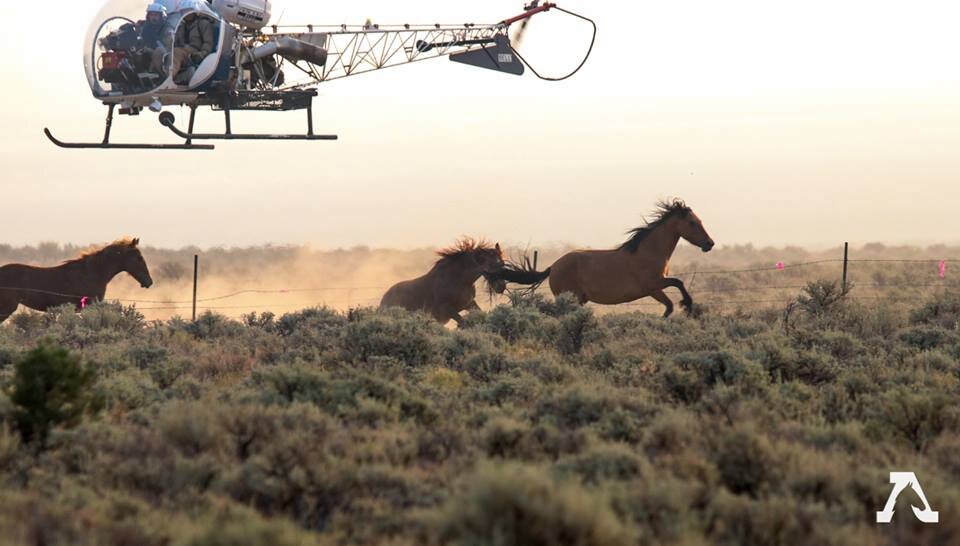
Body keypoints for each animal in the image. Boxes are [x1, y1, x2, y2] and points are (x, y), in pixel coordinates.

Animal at [500, 200, 715, 317]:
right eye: (692, 222)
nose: (709, 244)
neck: (649, 252)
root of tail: (553, 266)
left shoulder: (655, 289)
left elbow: (670, 303)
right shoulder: (653, 284)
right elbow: (677, 285)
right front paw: (687, 305)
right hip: (571, 297)